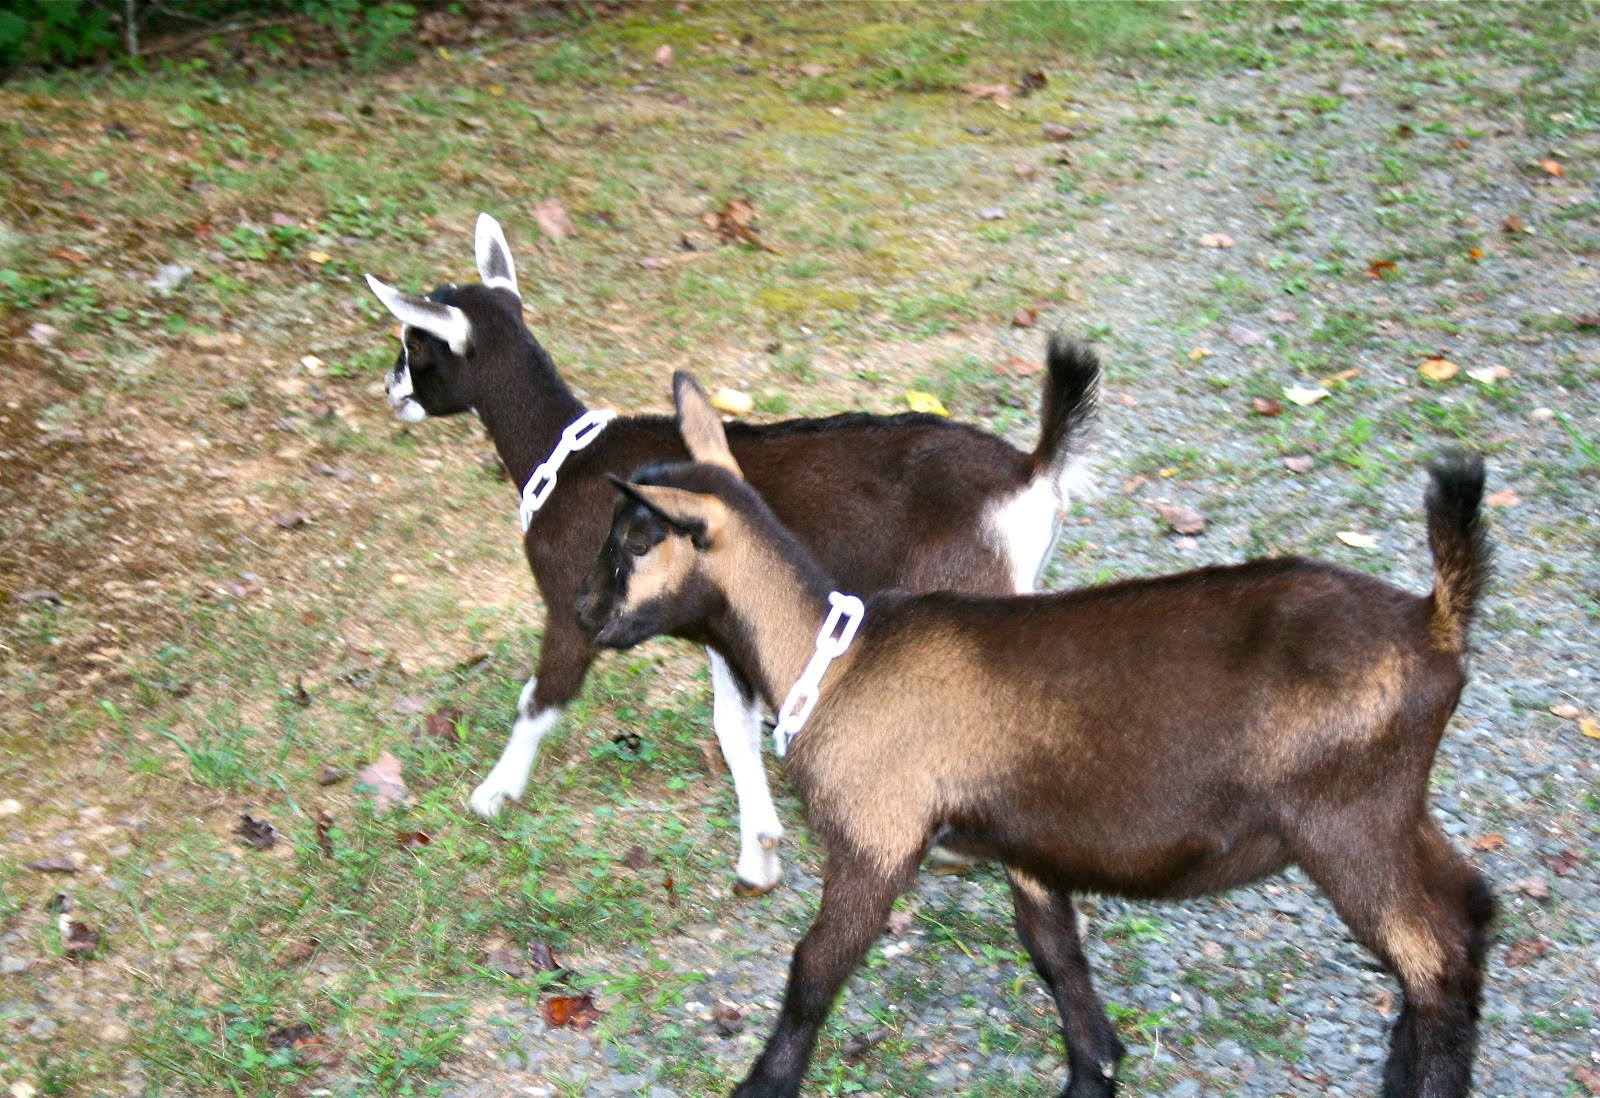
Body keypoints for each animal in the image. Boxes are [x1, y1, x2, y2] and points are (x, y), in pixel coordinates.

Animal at [363, 213, 1098, 892]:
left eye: (415, 343)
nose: (391, 392)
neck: (566, 457)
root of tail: (1033, 473)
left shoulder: (578, 601)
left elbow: (540, 698)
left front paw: (493, 793)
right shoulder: (721, 622)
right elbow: (734, 726)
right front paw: (760, 854)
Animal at [577, 374, 1495, 1098]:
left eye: (636, 539)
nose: (585, 613)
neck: (828, 656)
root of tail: (1434, 621)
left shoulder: (877, 838)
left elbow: (813, 971)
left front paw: (760, 1085)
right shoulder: (1025, 840)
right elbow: (1056, 956)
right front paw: (1094, 1072)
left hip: (1345, 821)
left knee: (1433, 956)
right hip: (1395, 810)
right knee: (1470, 908)